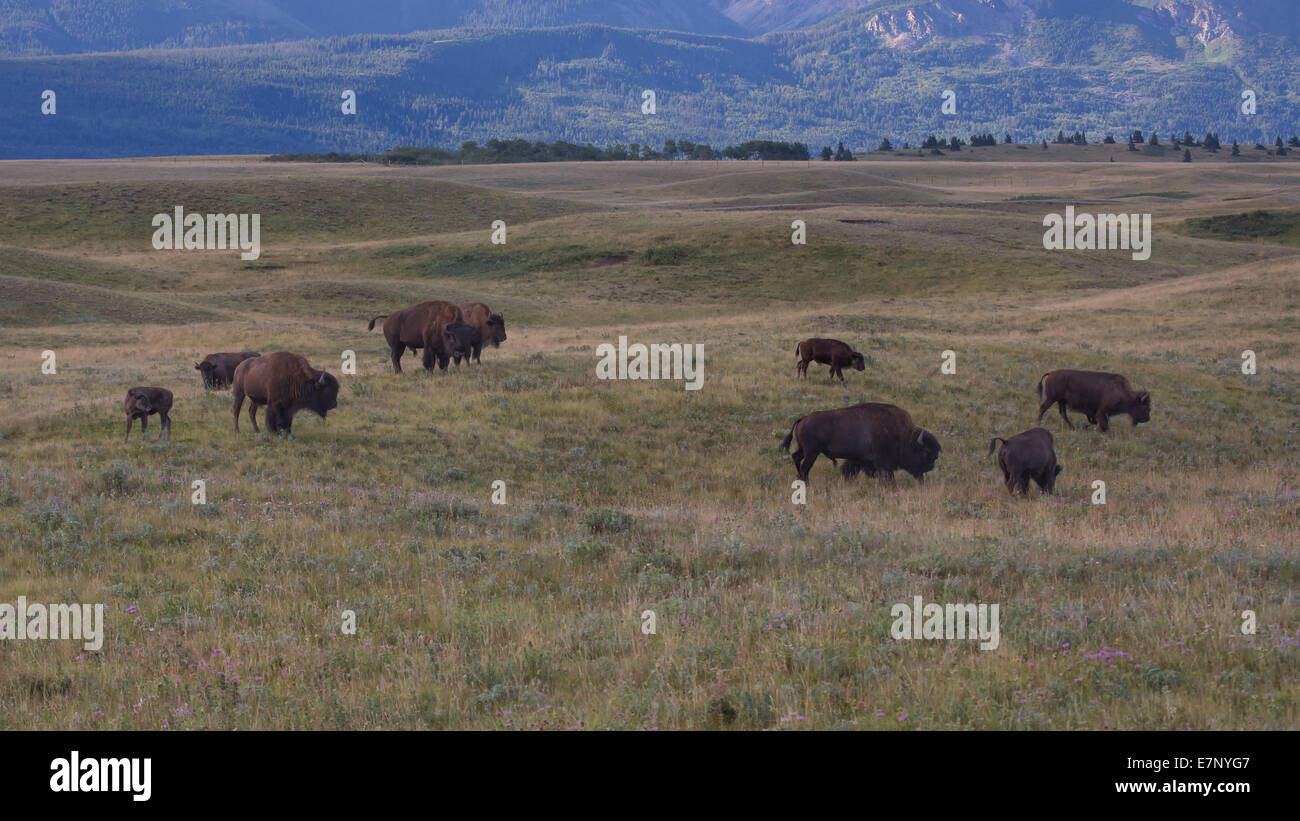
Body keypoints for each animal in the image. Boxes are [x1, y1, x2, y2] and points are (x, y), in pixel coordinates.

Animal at [781, 402, 941, 484]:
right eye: (925, 452)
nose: (931, 467)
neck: (903, 435)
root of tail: (803, 418)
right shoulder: (883, 463)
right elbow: (887, 476)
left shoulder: (857, 460)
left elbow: (849, 471)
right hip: (812, 452)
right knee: (805, 466)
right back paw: (805, 482)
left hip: (804, 449)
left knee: (796, 457)